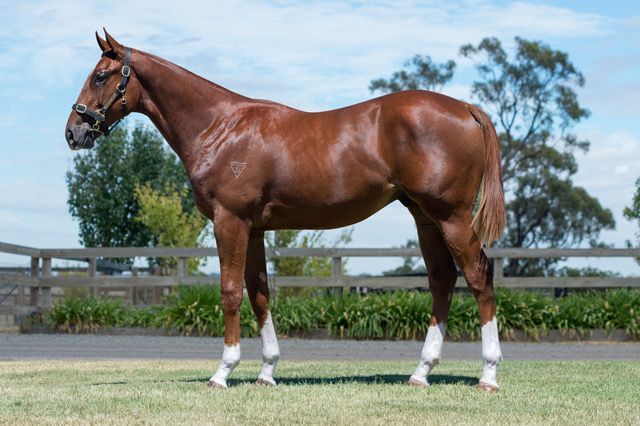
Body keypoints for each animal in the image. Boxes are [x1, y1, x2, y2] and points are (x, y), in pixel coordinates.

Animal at [66, 30, 506, 392]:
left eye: (101, 76)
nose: (74, 131)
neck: (219, 127)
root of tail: (465, 108)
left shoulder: (230, 222)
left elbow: (230, 293)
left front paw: (222, 372)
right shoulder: (255, 229)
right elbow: (260, 294)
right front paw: (267, 372)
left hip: (451, 217)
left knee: (478, 276)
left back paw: (488, 375)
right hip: (425, 217)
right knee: (442, 281)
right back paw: (421, 373)